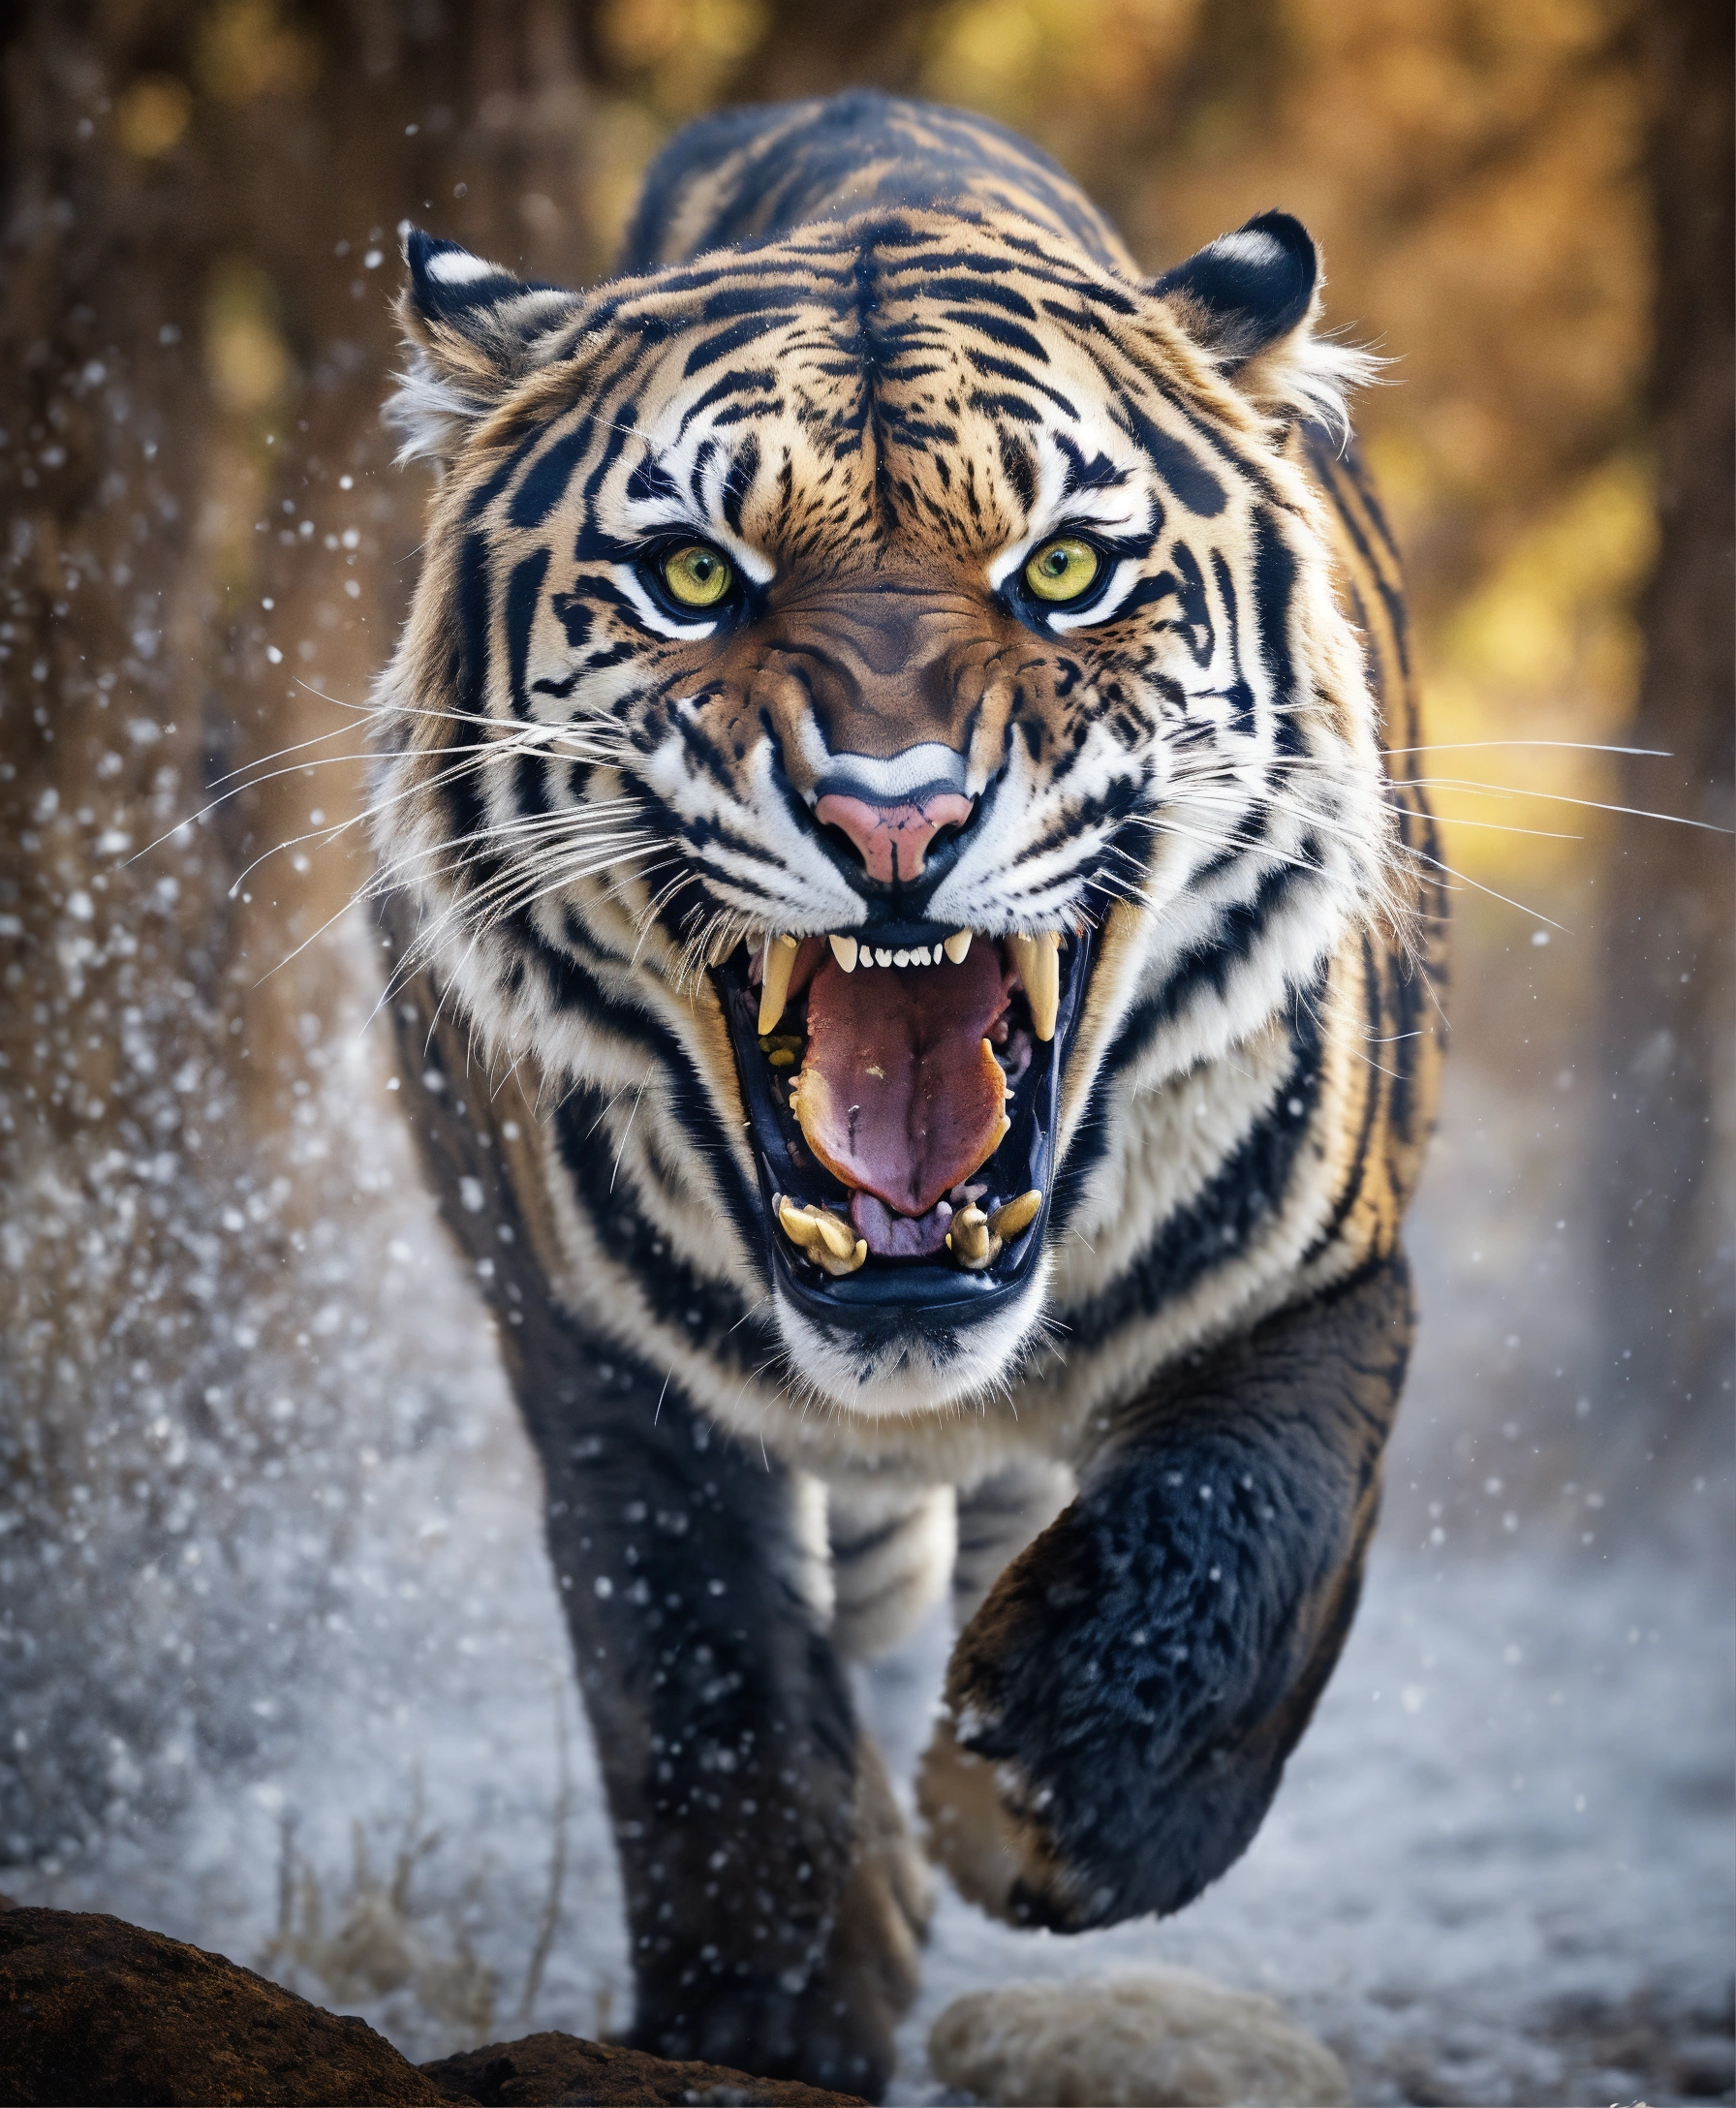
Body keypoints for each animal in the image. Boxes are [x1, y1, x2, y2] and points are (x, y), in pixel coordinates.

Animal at [370, 90, 1444, 2099]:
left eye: (1064, 572)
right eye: (695, 576)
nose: (893, 820)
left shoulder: (1324, 1276)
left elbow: (1234, 1544)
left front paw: (1038, 1803)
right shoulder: (596, 1360)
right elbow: (700, 1689)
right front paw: (767, 2009)